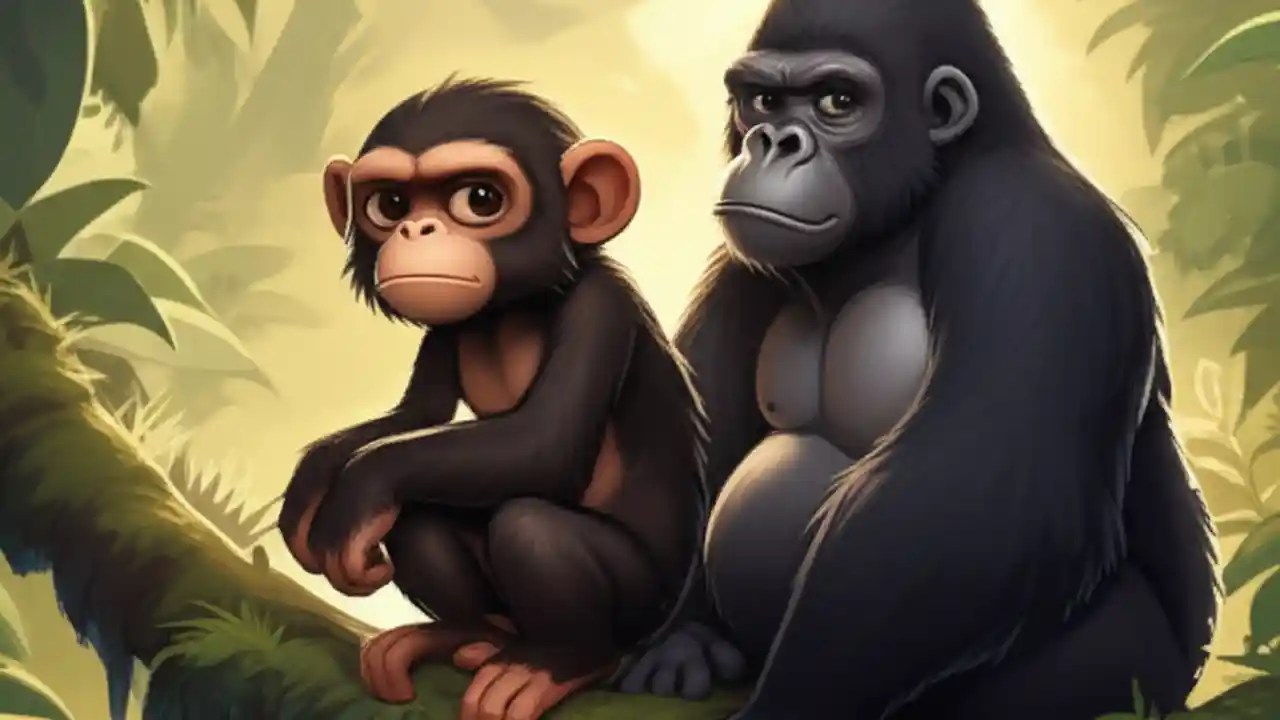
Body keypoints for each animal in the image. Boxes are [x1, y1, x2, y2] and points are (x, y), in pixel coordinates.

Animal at [276, 77, 705, 720]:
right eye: (390, 205)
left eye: (479, 200)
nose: (416, 231)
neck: (512, 309)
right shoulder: (442, 332)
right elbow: (416, 416)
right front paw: (313, 482)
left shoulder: (601, 308)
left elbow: (545, 444)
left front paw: (355, 491)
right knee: (417, 512)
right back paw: (464, 636)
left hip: (642, 611)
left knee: (532, 526)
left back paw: (555, 665)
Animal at [618, 1, 1221, 718]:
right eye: (762, 100)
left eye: (837, 101)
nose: (772, 141)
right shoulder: (740, 268)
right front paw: (685, 640)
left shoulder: (1032, 227)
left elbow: (978, 503)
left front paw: (784, 705)